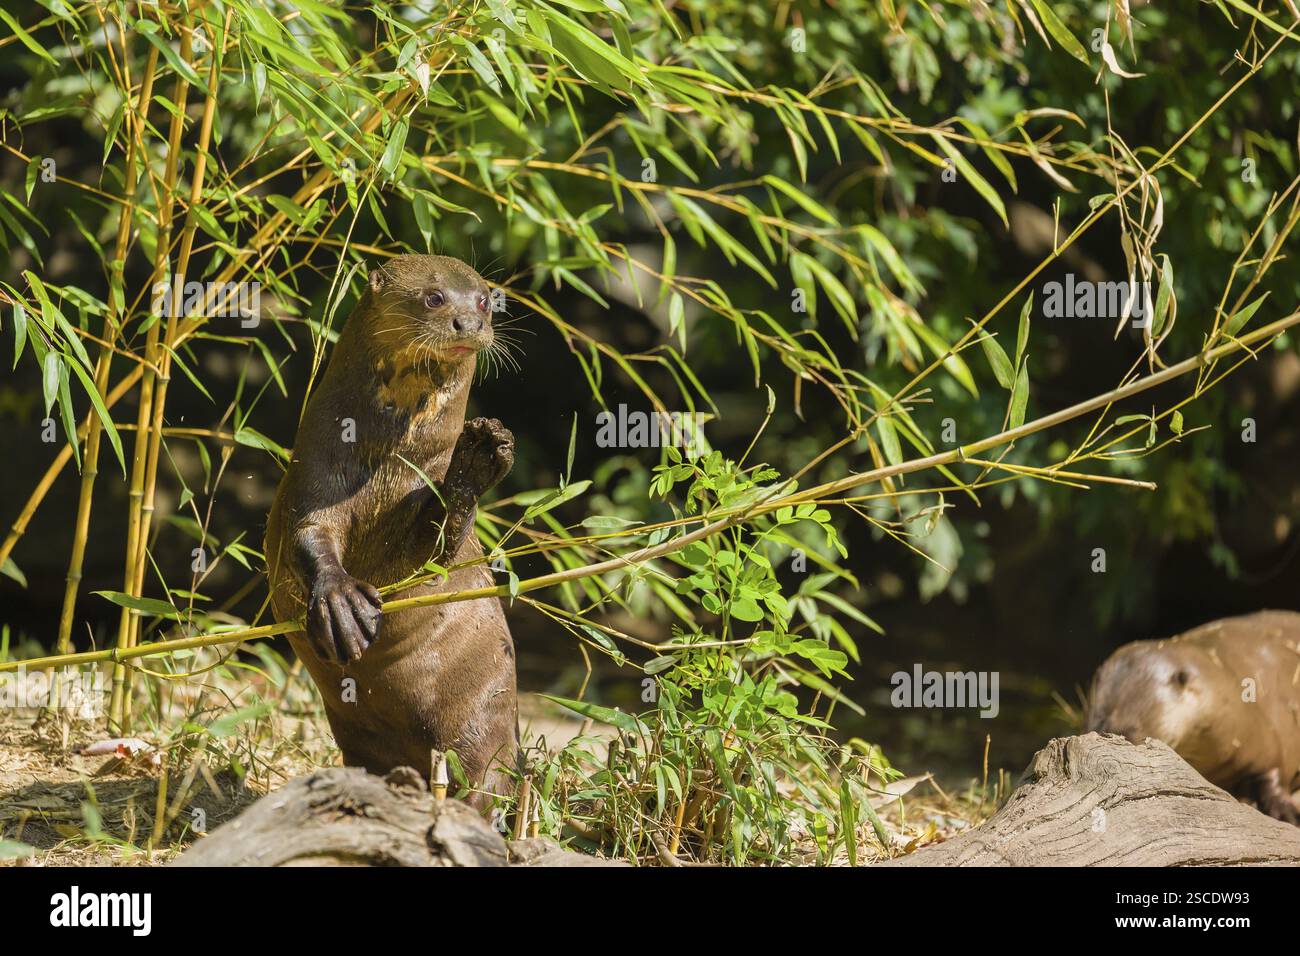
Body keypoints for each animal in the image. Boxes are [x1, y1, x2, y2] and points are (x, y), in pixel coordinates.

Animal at [265, 254, 518, 803]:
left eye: (485, 299)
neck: (385, 462)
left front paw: (480, 457)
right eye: (434, 297)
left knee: (485, 778)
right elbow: (309, 534)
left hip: (485, 714)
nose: (470, 323)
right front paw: (341, 603)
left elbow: (438, 549)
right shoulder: (316, 472)